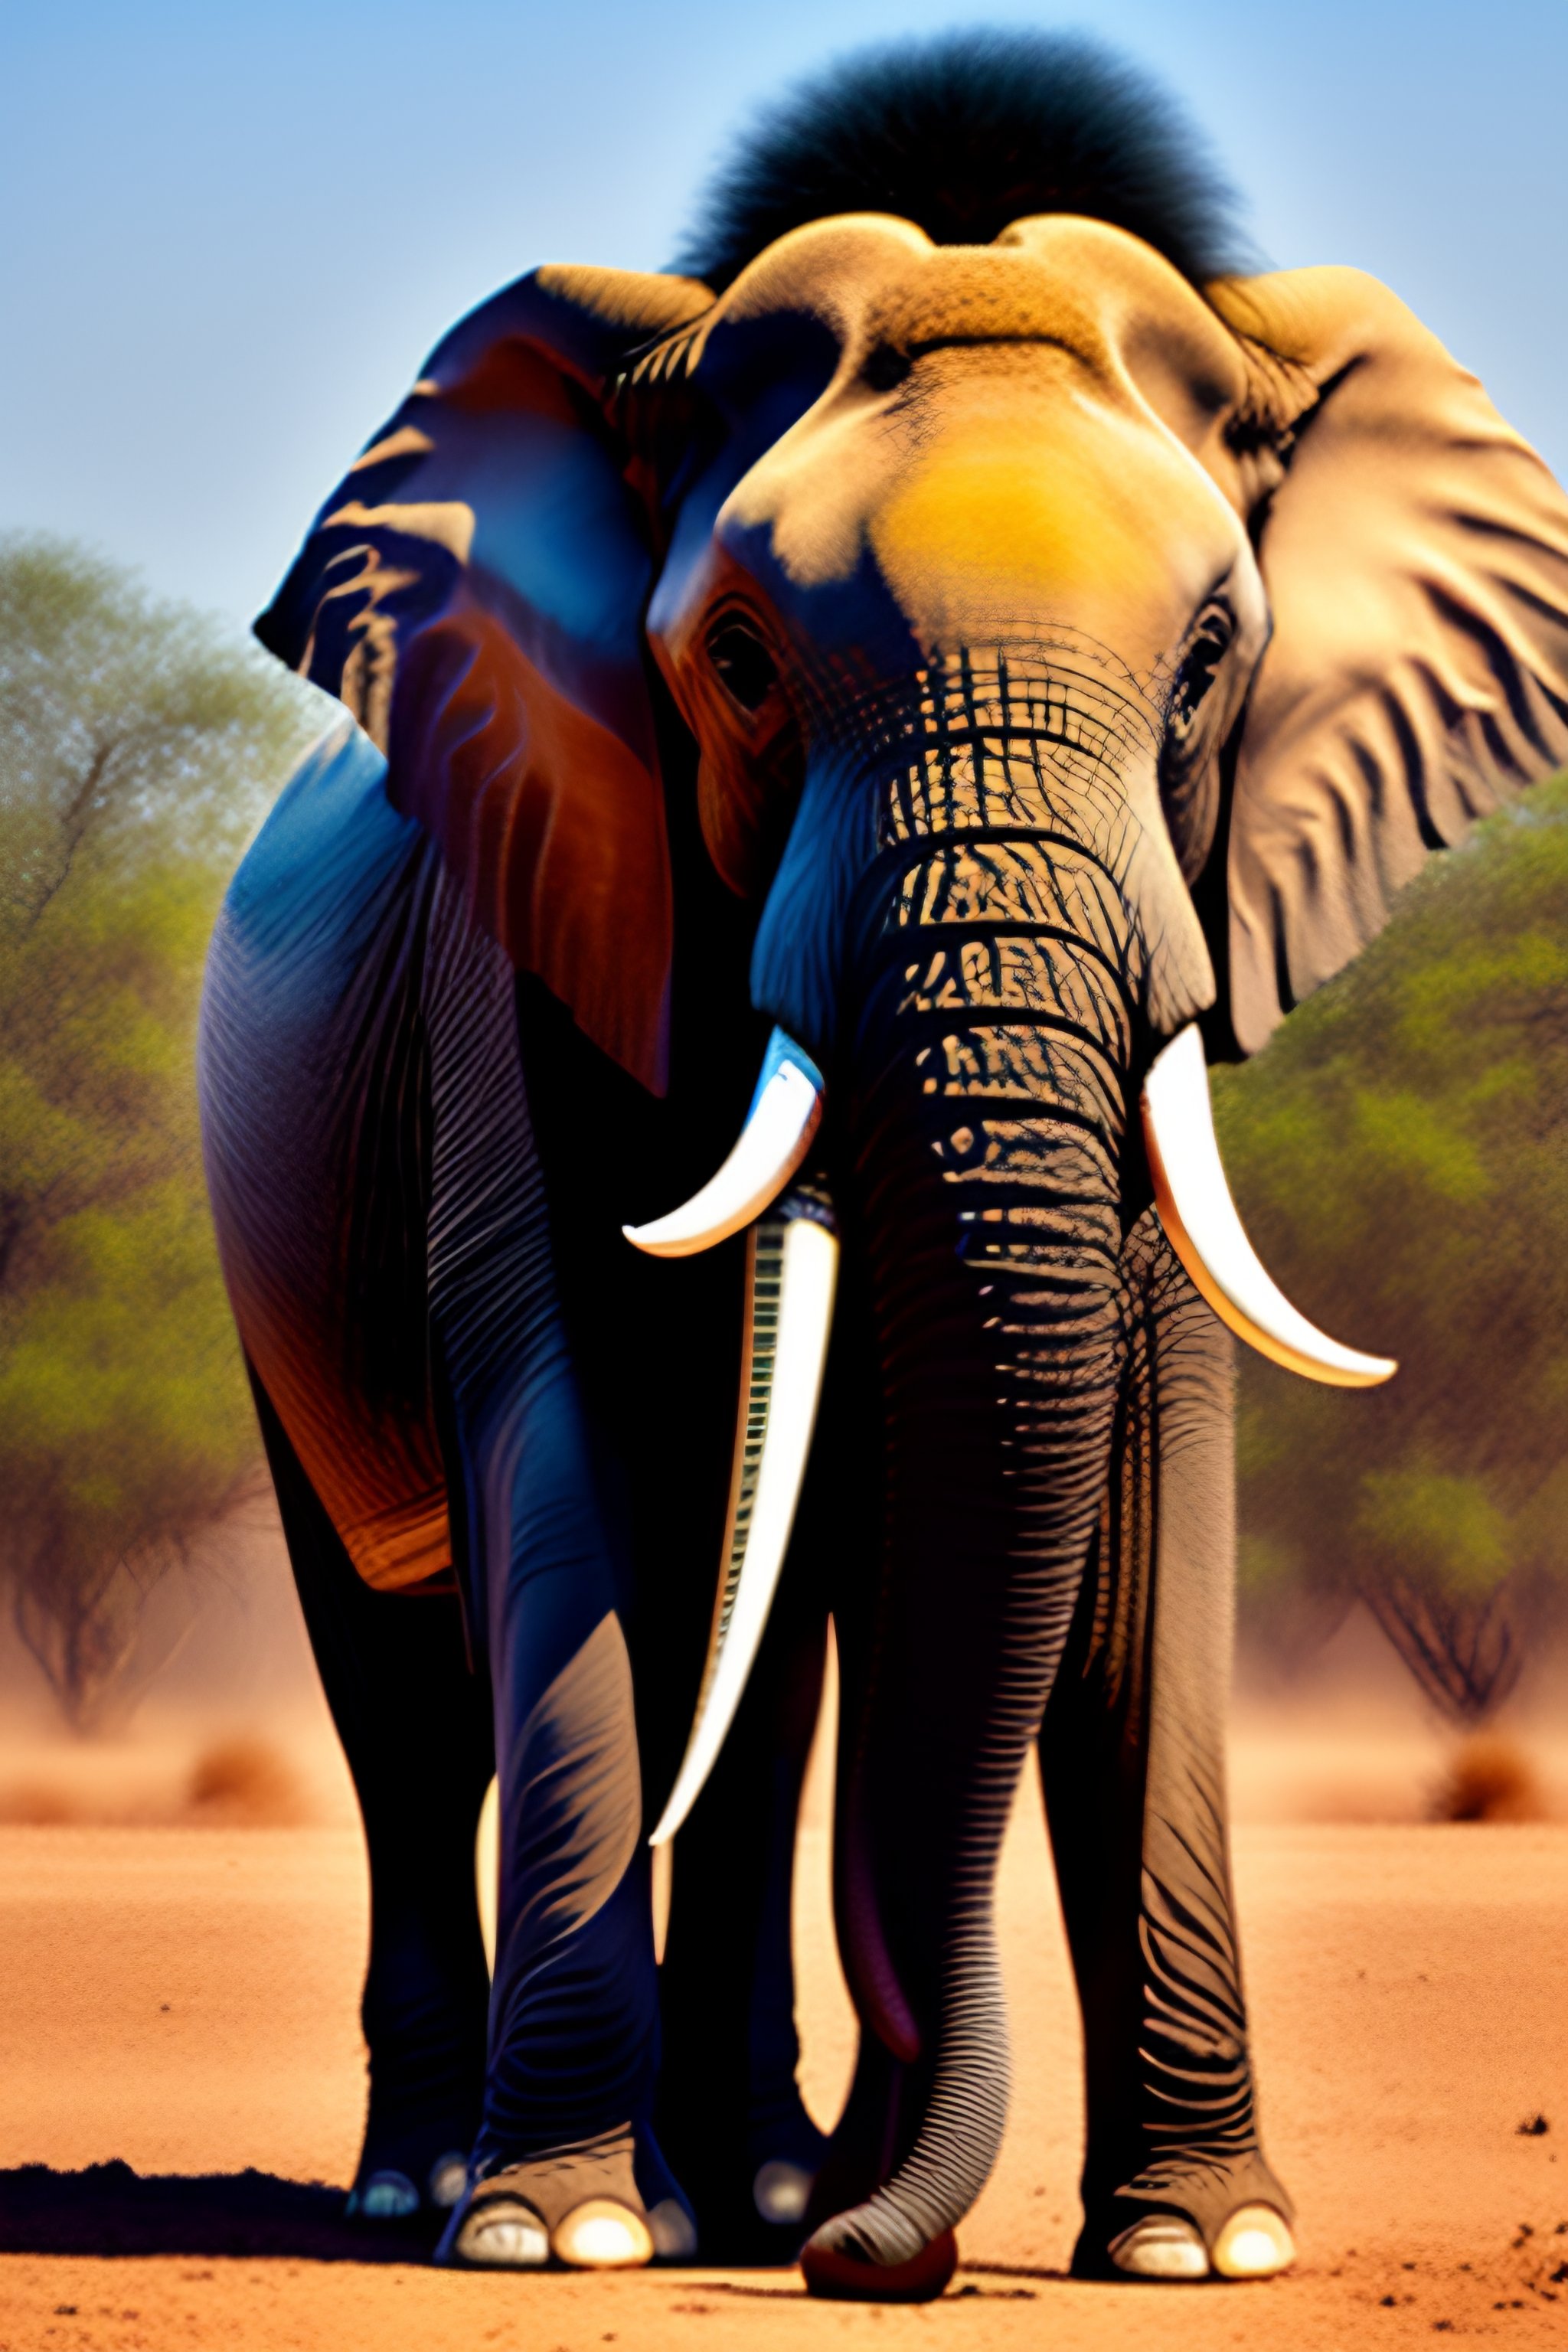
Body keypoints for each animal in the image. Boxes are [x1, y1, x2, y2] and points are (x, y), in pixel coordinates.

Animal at [198, 27, 1568, 2304]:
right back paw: (450, 2187)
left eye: (1212, 660)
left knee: (752, 1691)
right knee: (410, 1687)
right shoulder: (541, 914)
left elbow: (1143, 1498)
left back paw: (738, 2182)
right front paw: (558, 2230)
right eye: (739, 662)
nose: (877, 2249)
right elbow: (573, 1445)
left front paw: (1200, 2244)